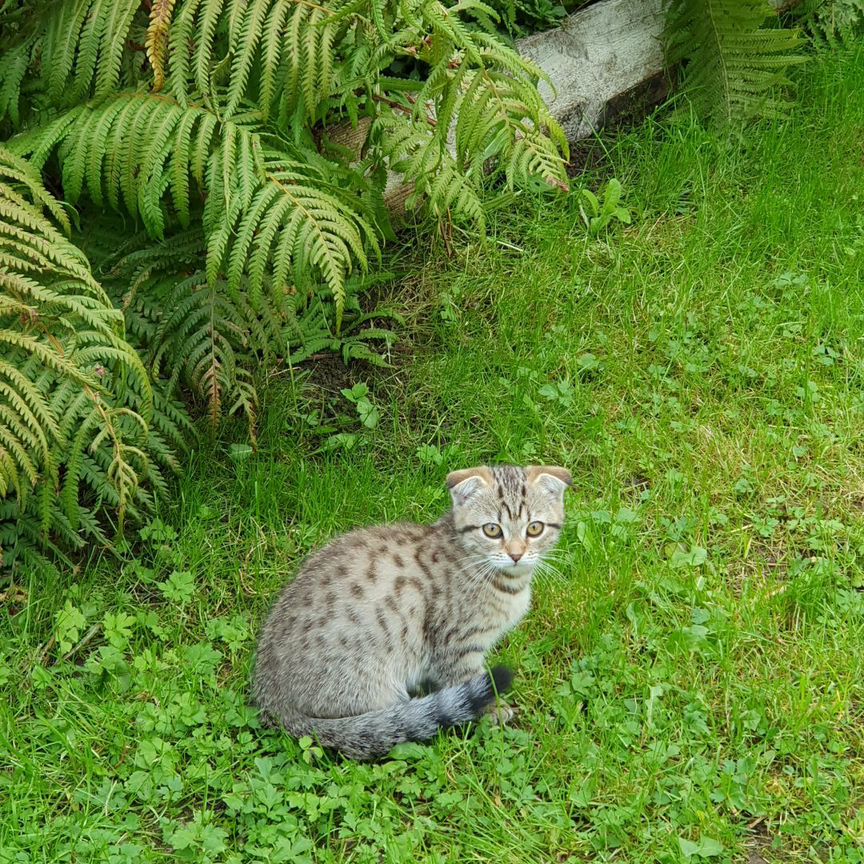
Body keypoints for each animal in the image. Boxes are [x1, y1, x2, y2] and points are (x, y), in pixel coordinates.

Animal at [251, 462, 572, 760]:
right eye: (492, 530)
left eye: (534, 528)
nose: (516, 554)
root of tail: (272, 698)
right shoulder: (456, 644)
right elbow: (467, 676)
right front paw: (492, 710)